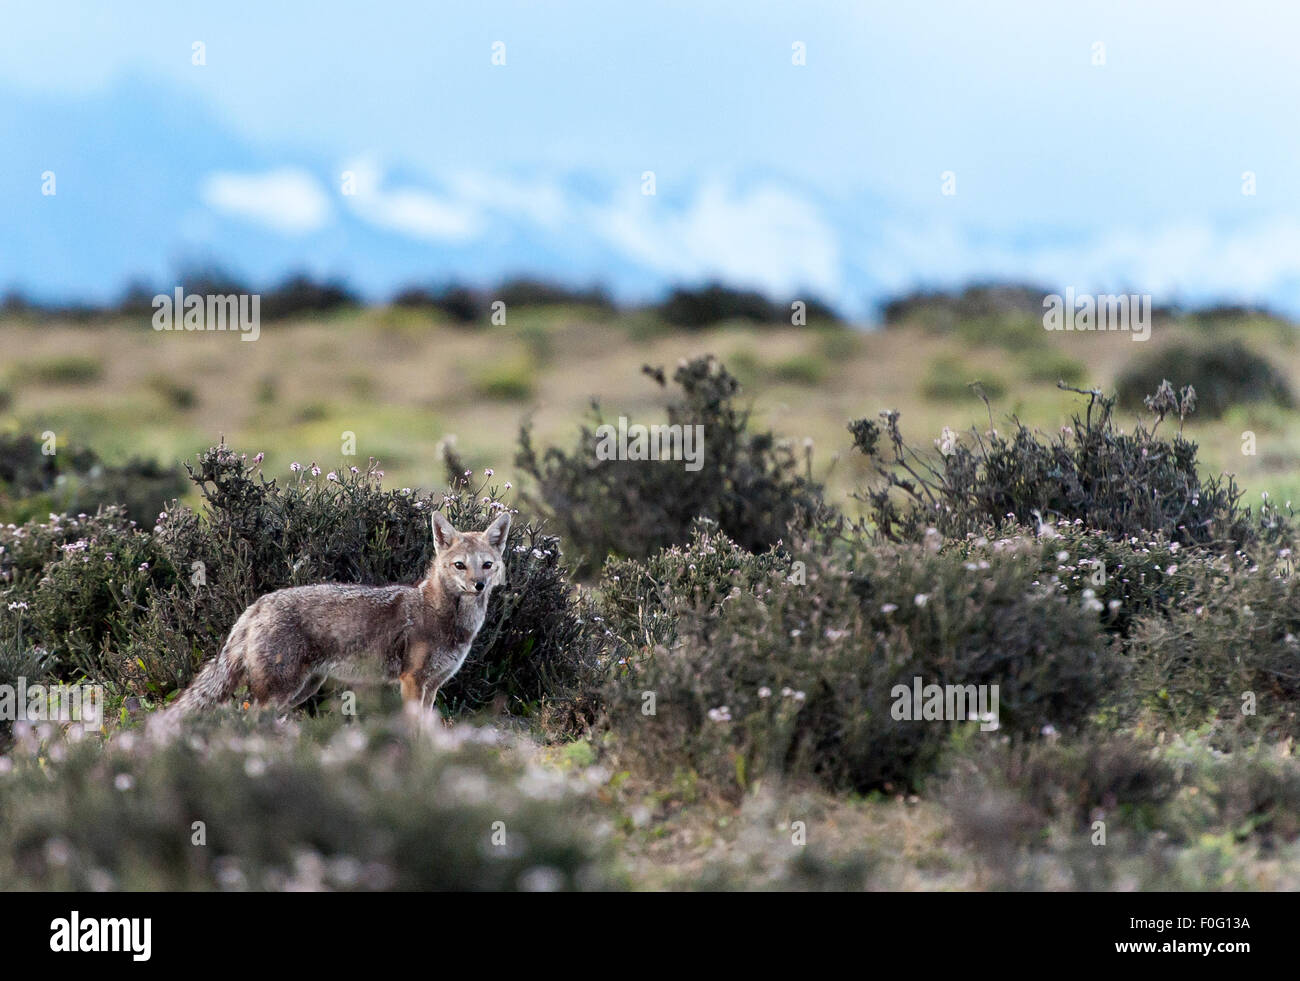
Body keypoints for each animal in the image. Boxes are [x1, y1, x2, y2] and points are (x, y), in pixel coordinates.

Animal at [156, 510, 510, 725]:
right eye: (460, 566)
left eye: (487, 565)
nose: (478, 585)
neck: (445, 617)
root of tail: (258, 604)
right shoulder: (411, 681)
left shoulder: (432, 686)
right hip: (282, 690)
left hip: (301, 690)